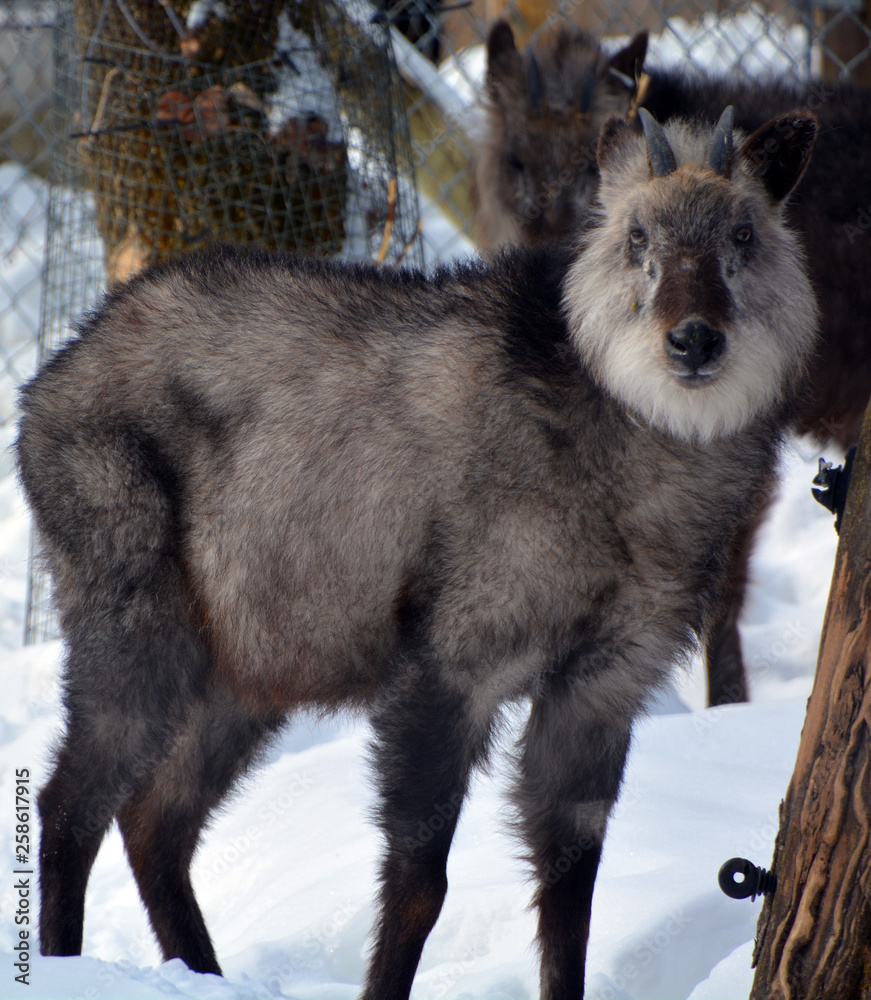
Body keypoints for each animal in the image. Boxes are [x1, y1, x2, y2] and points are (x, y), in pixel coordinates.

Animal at [17, 109, 817, 999]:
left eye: (743, 234)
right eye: (636, 234)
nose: (693, 341)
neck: (625, 452)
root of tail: (52, 376)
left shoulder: (601, 688)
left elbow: (571, 892)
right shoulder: (447, 670)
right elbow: (418, 885)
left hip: (253, 667)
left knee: (155, 818)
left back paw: (202, 972)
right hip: (139, 635)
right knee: (70, 805)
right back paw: (68, 965)